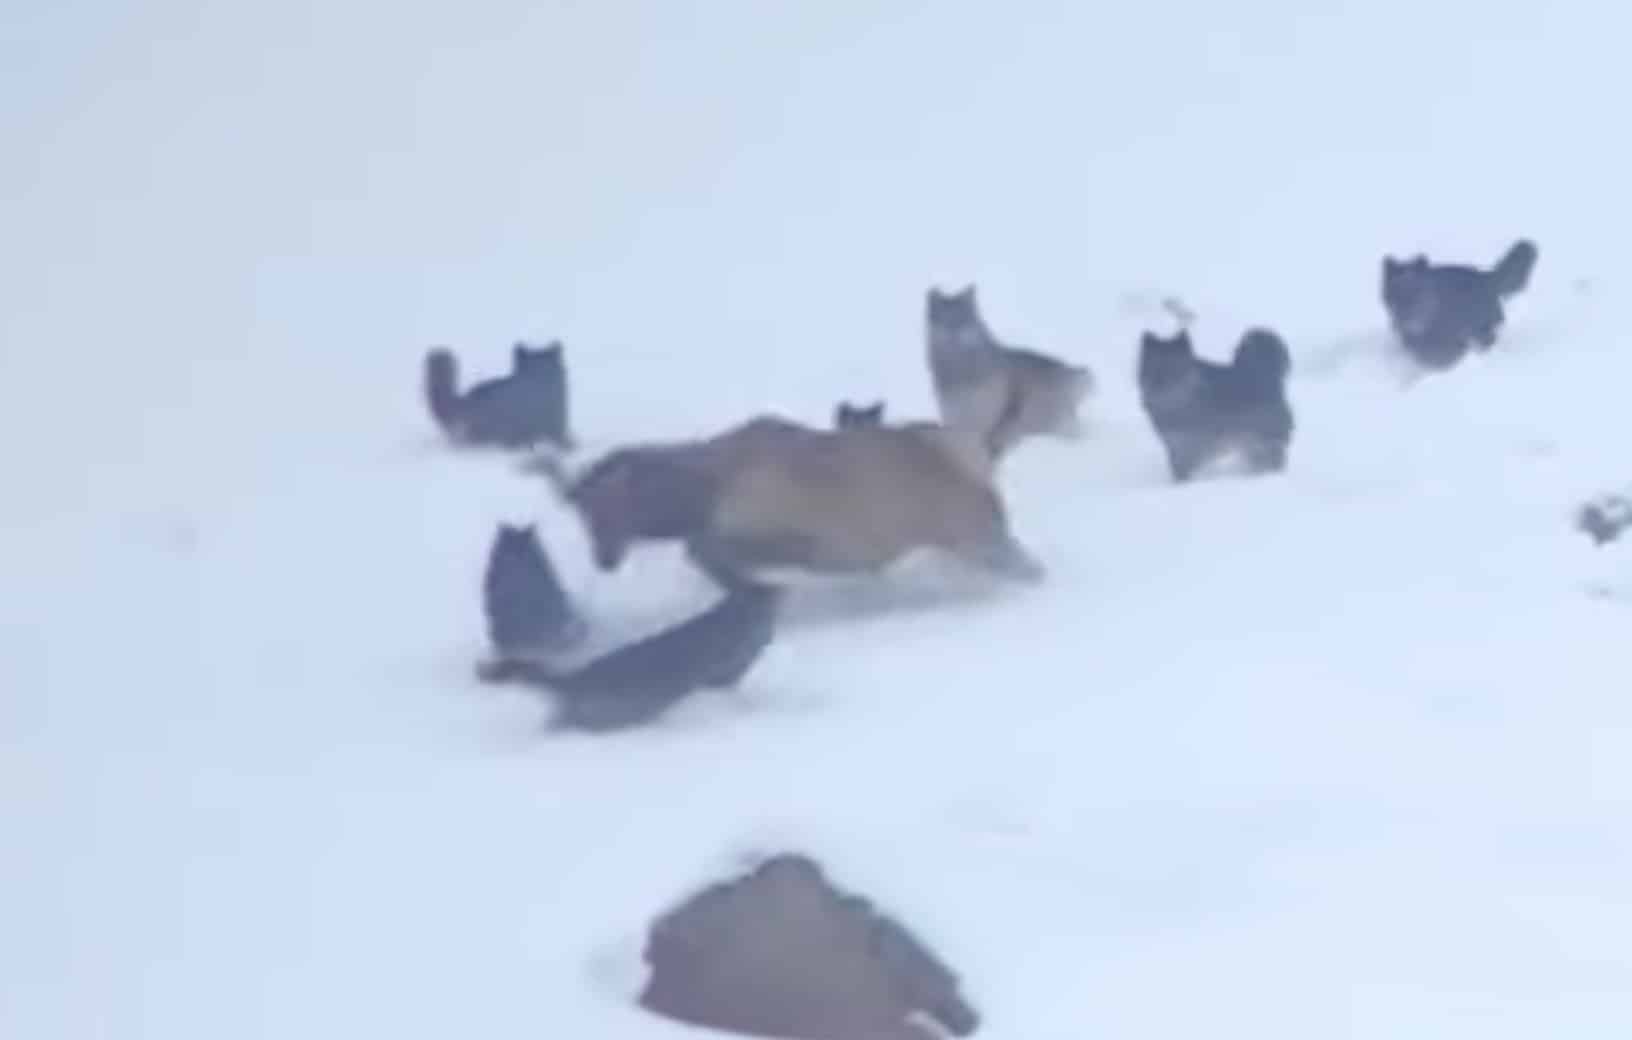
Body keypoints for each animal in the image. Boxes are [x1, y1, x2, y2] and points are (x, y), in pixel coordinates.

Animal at [538, 414, 1044, 587]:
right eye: (580, 513)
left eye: (605, 508)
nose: (603, 559)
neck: (698, 497)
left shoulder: (809, 543)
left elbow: (706, 552)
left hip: (978, 535)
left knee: (1024, 564)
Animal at [1137, 327, 1295, 483]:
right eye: (1154, 367)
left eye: (1175, 367)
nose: (1159, 385)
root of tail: (1265, 370)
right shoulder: (1176, 446)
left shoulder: (1192, 445)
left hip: (1264, 441)